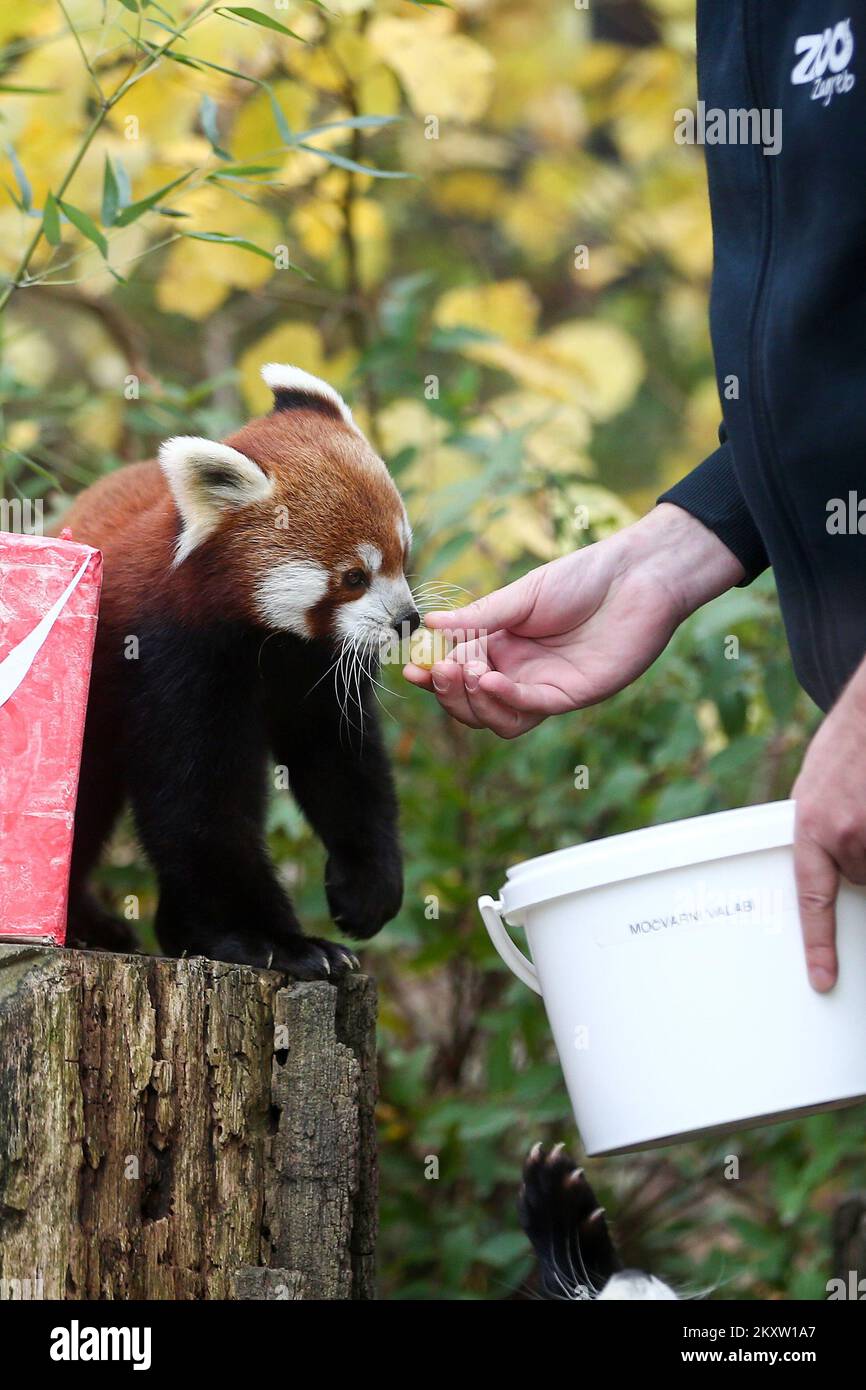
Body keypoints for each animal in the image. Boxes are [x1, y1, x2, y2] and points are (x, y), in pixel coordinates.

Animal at [61, 364, 419, 980]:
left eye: (403, 556)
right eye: (354, 577)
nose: (407, 621)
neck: (269, 643)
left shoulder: (314, 669)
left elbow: (344, 765)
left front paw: (367, 889)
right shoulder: (170, 660)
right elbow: (200, 802)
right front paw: (270, 940)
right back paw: (87, 923)